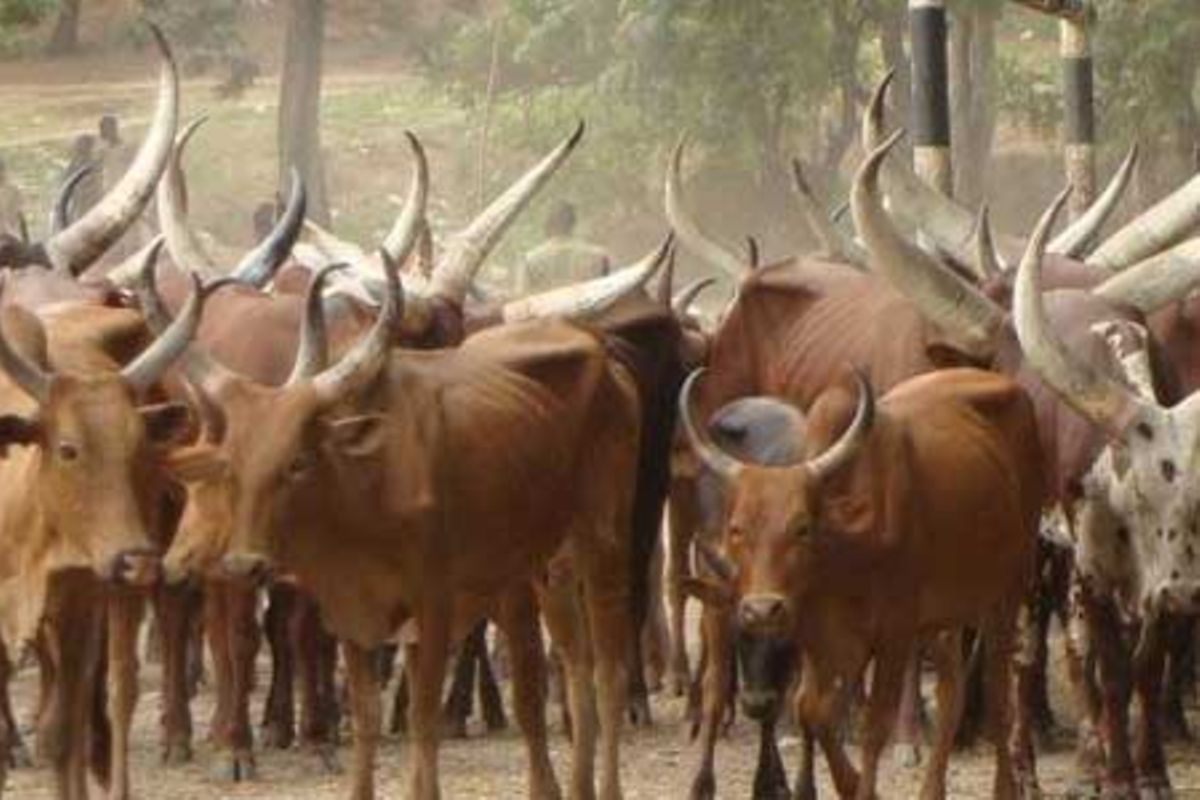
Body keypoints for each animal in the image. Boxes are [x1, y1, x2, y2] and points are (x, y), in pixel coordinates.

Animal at [679, 365, 1043, 800]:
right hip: (945, 614)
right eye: (736, 528)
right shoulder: (823, 639)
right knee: (951, 692)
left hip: (1005, 592)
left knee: (997, 694)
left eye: (802, 527)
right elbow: (814, 710)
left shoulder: (895, 634)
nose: (762, 609)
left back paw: (1005, 787)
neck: (847, 550)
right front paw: (848, 782)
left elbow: (873, 728)